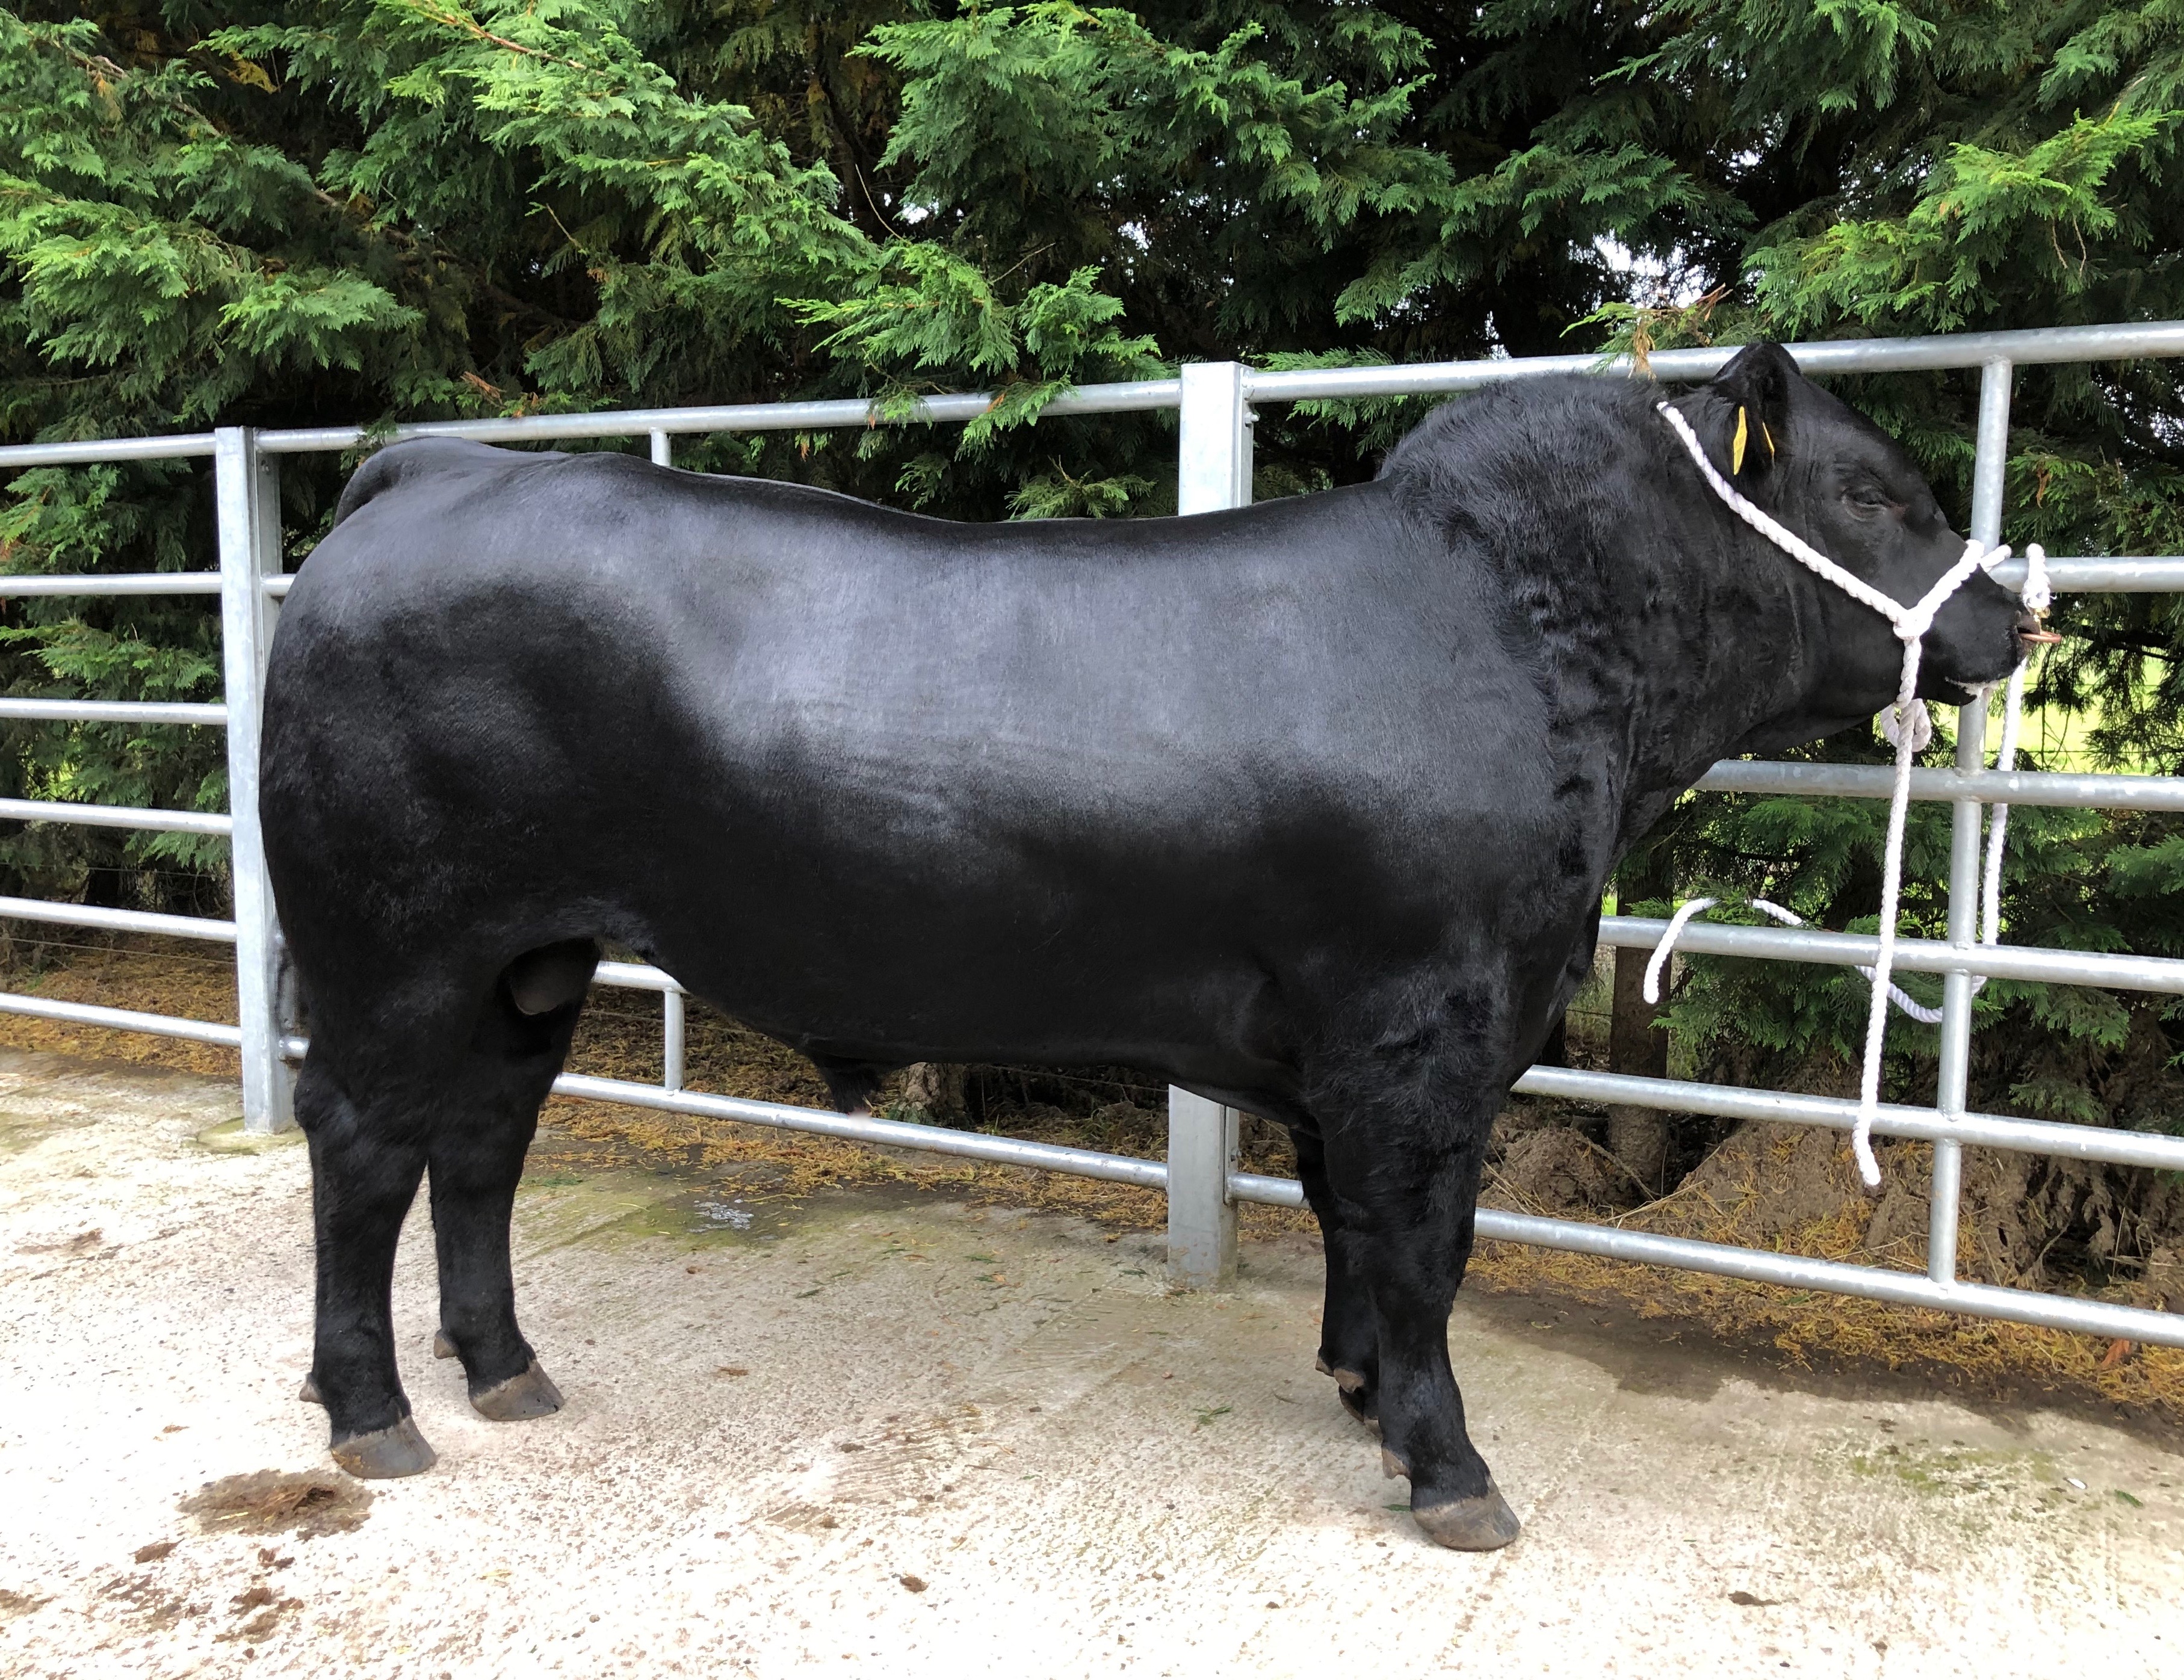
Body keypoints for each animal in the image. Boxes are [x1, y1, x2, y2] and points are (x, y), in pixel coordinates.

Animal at [262, 343, 2032, 1549]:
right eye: (1873, 491)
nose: (2015, 617)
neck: (1526, 639)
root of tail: (437, 470)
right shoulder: (1423, 1021)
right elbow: (1425, 1243)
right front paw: (1449, 1464)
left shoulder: (1365, 1042)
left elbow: (1352, 1229)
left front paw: (1362, 1393)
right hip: (389, 944)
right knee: (363, 1150)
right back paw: (375, 1410)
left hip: (531, 959)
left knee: (481, 1147)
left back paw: (505, 1366)